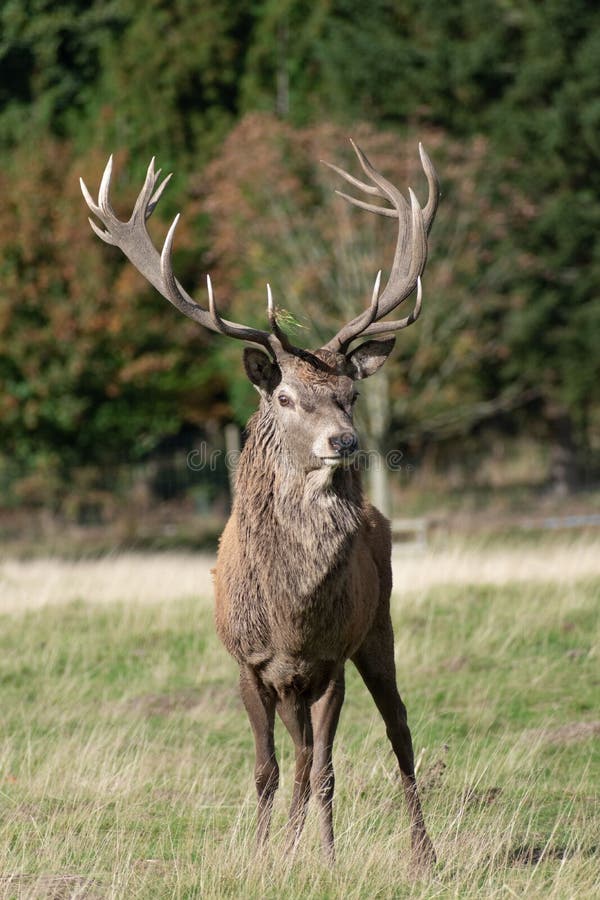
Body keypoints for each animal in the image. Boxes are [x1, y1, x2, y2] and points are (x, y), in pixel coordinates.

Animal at [80, 139, 439, 870]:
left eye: (350, 395)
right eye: (285, 397)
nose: (346, 441)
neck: (291, 617)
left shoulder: (330, 657)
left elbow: (323, 769)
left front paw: (324, 860)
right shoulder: (247, 663)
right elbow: (268, 770)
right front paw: (263, 854)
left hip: (377, 628)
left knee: (396, 731)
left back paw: (422, 854)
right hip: (297, 679)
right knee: (300, 754)